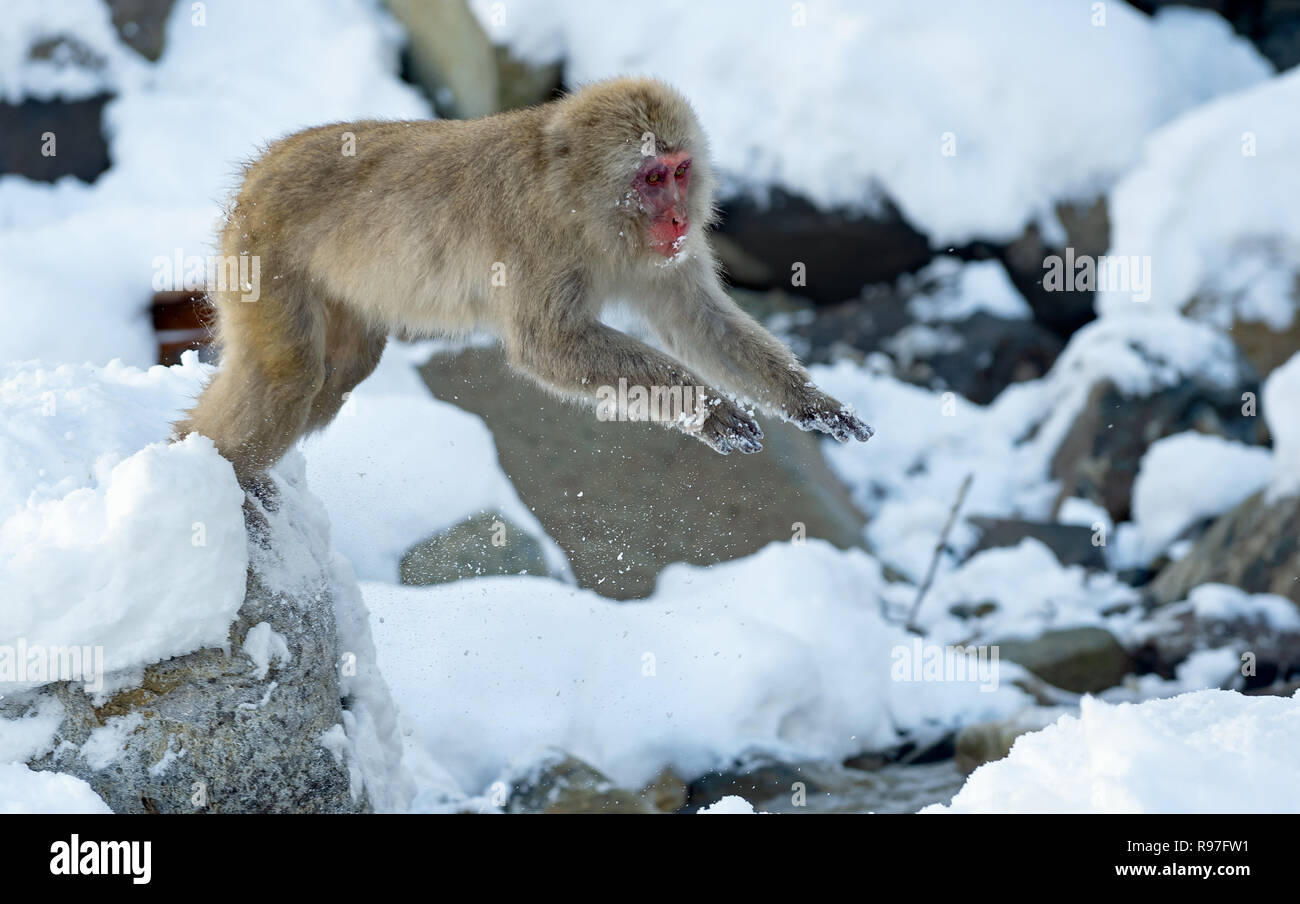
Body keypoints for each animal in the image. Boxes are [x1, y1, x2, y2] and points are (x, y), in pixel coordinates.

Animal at [176, 77, 872, 490]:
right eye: (650, 178)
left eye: (679, 170)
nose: (679, 218)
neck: (581, 206)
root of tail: (260, 167)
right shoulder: (539, 245)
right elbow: (549, 347)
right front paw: (711, 410)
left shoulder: (659, 256)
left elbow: (698, 322)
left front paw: (813, 404)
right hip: (262, 254)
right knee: (289, 377)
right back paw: (200, 477)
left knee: (339, 371)